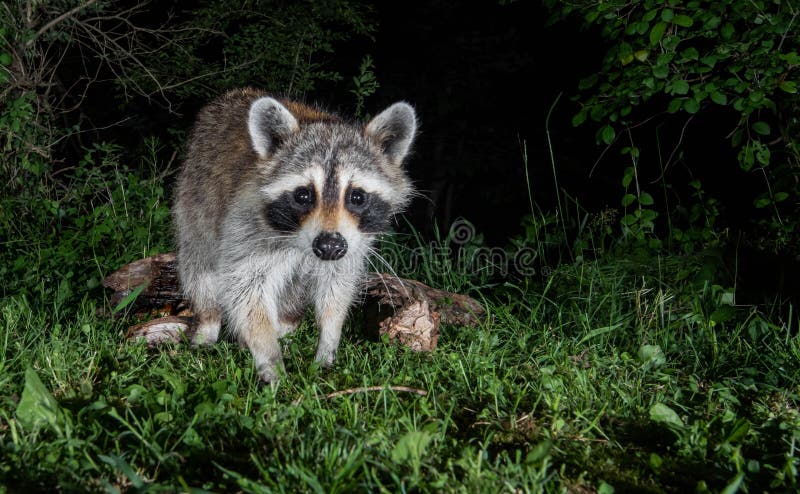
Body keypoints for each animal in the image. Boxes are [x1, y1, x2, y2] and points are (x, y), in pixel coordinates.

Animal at [174, 88, 417, 383]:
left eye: (357, 197)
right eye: (303, 195)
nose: (329, 246)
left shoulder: (353, 244)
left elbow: (338, 286)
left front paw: (329, 341)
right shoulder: (245, 227)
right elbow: (246, 292)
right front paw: (269, 356)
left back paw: (287, 324)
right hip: (195, 197)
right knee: (200, 266)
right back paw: (208, 320)